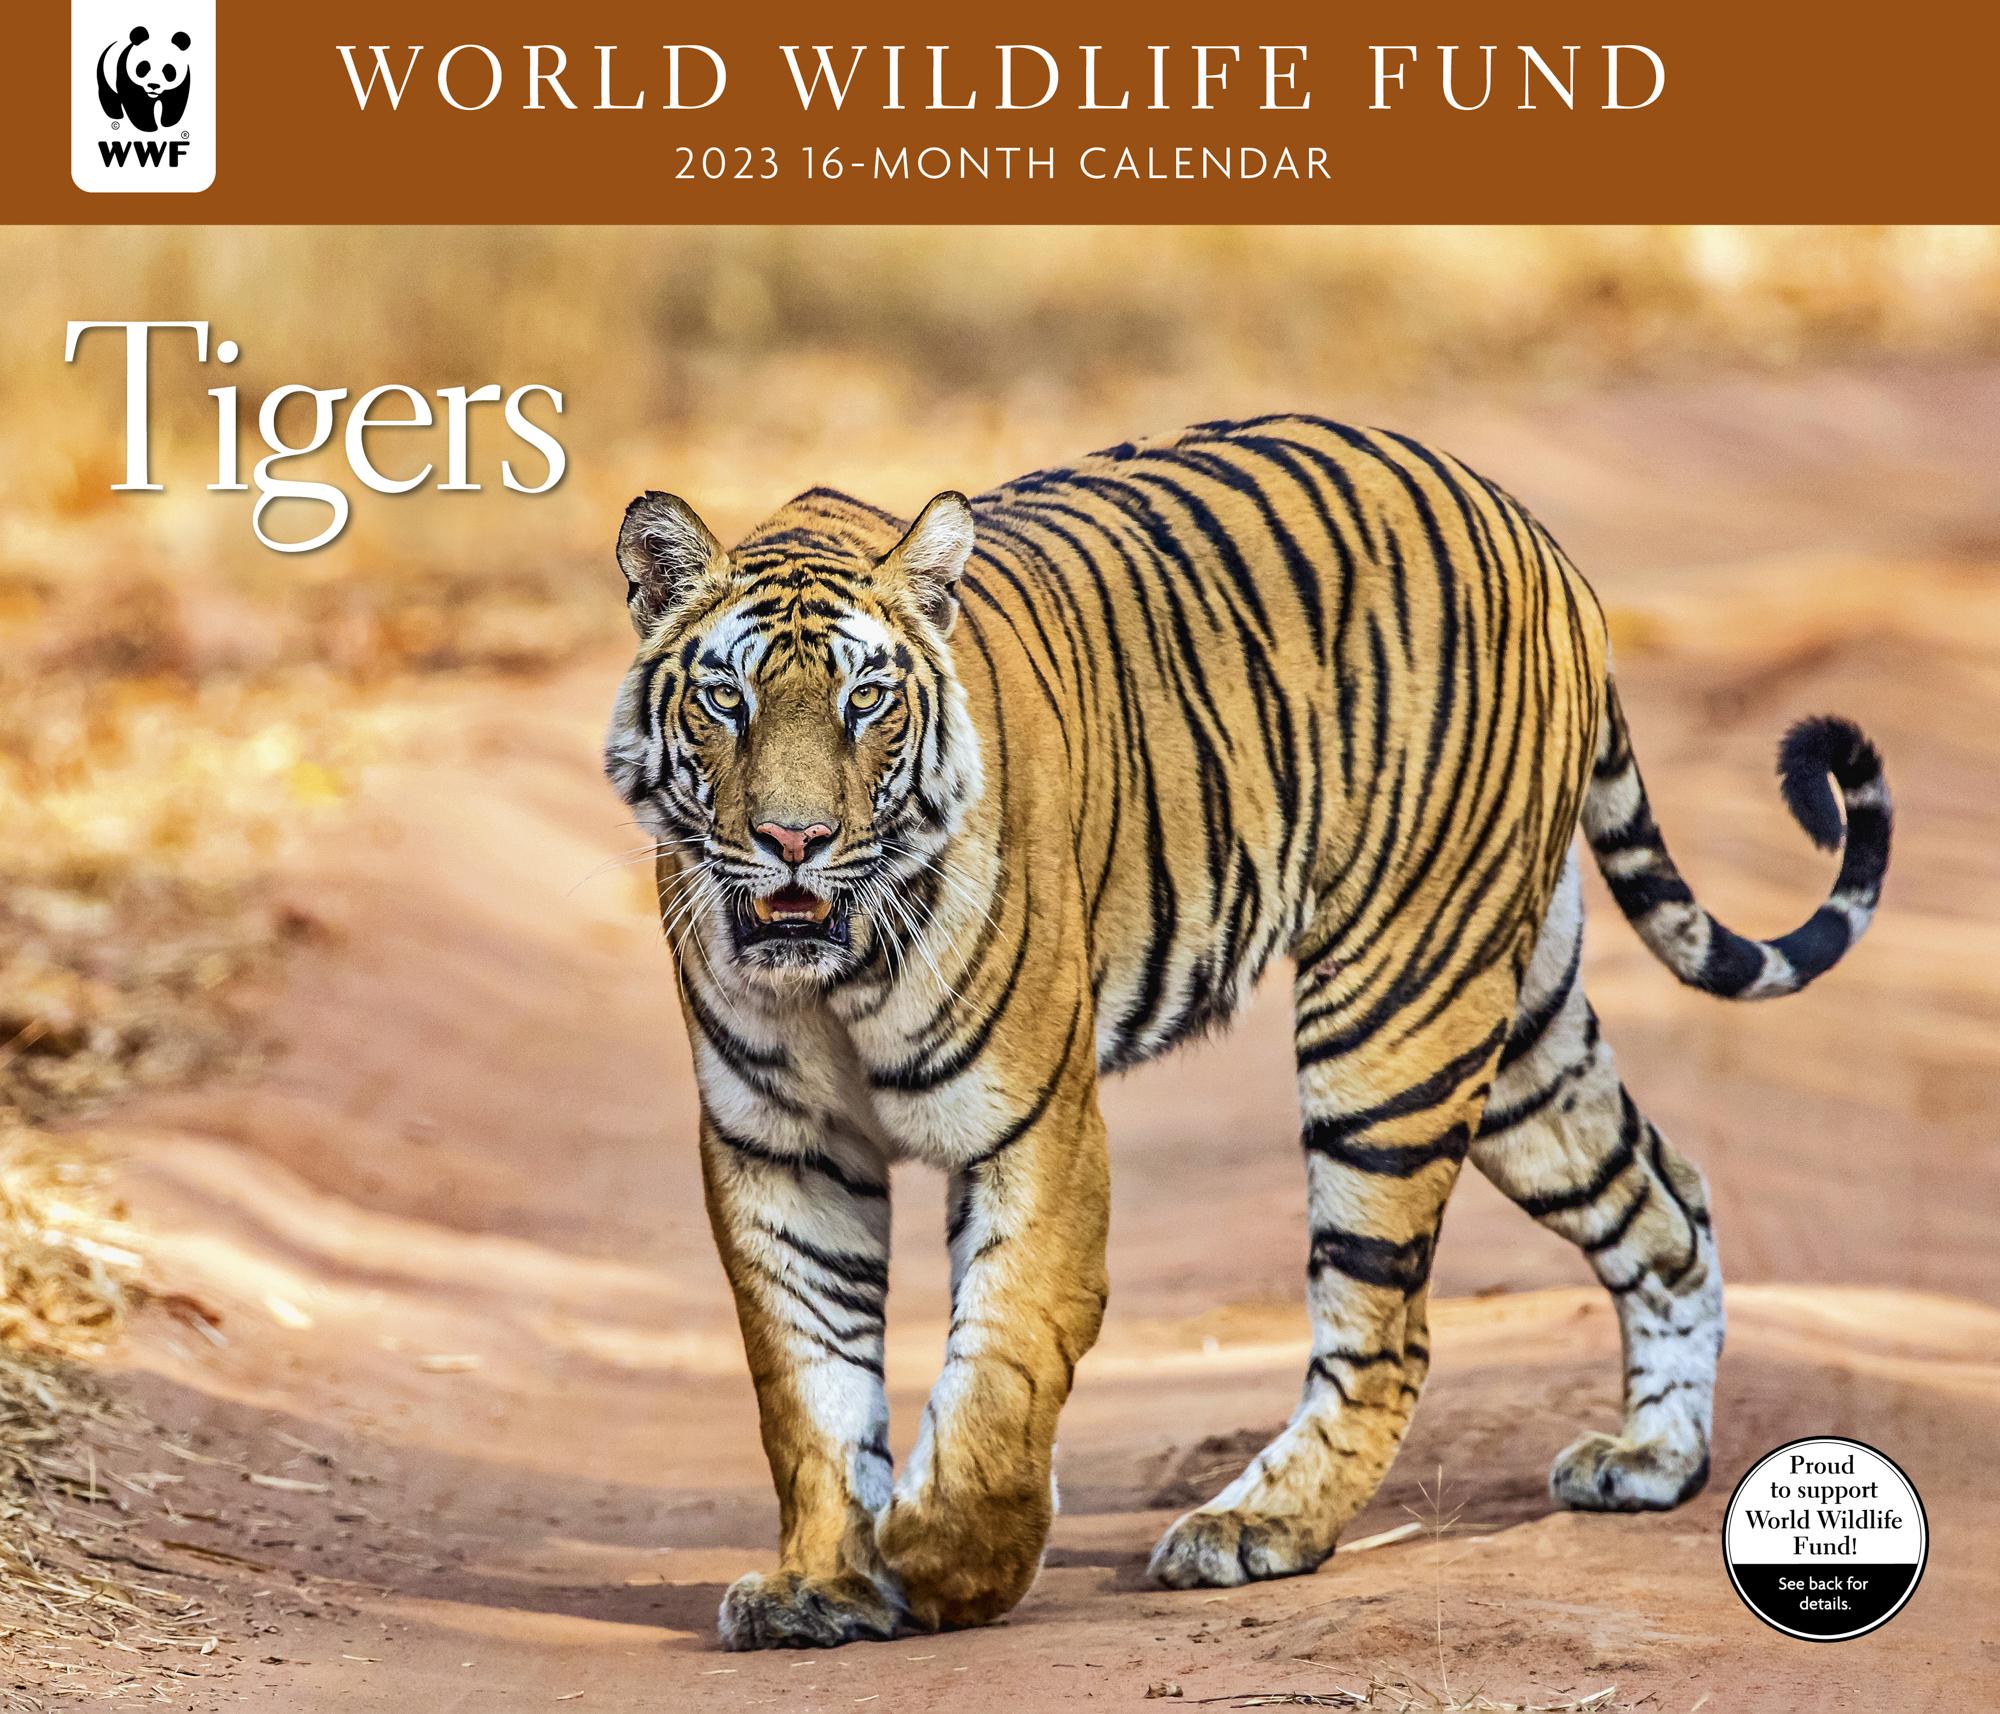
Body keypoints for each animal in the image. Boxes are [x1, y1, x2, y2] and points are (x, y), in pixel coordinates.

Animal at [601, 414, 1891, 1651]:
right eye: (726, 699)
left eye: (866, 700)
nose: (792, 841)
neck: (834, 972)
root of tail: (1529, 528)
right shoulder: (780, 1150)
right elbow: (807, 1377)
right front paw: (820, 1582)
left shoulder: (1034, 1124)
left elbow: (1005, 1346)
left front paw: (946, 1556)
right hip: (1520, 1032)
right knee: (1664, 1197)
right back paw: (1652, 1459)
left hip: (1395, 1019)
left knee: (1388, 1328)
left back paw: (1254, 1525)